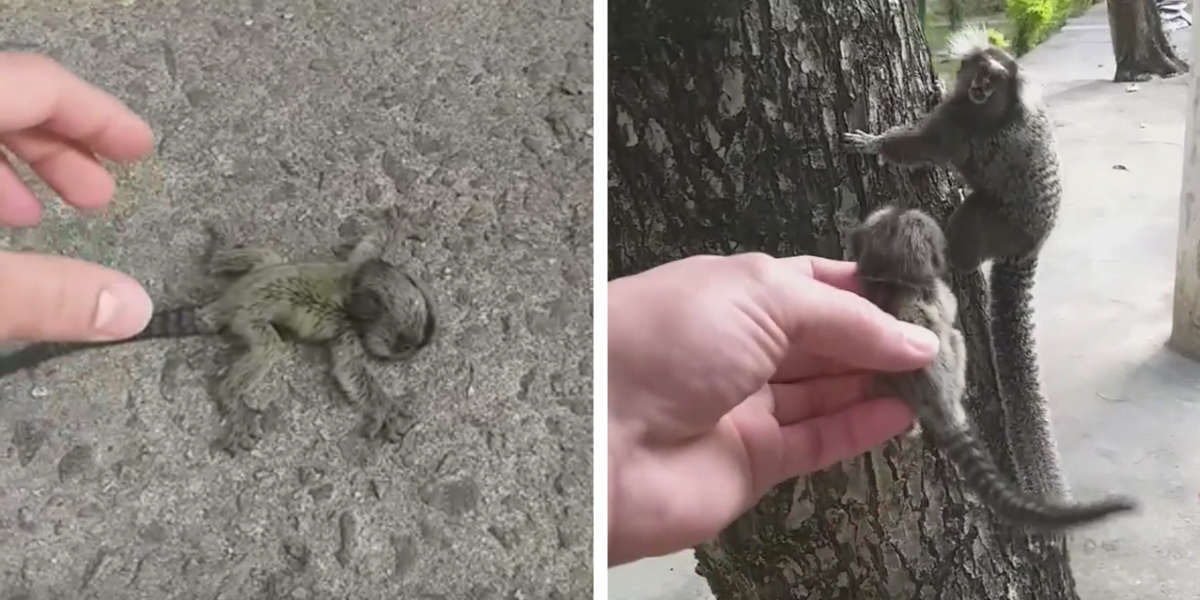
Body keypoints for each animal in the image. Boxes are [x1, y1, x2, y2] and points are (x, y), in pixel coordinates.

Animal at [0, 208, 436, 455]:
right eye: (404, 344)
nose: (420, 348)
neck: (355, 292)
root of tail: (223, 304)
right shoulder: (347, 327)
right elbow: (350, 371)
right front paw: (383, 406)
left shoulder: (363, 264)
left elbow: (370, 243)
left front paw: (396, 225)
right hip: (249, 320)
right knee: (270, 346)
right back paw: (231, 397)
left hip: (259, 270)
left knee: (267, 258)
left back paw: (217, 256)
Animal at [842, 25, 1069, 501]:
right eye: (979, 72)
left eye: (994, 79)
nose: (980, 87)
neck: (990, 113)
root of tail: (1032, 244)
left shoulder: (956, 129)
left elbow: (919, 145)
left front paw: (871, 144)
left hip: (995, 222)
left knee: (966, 226)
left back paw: (947, 252)